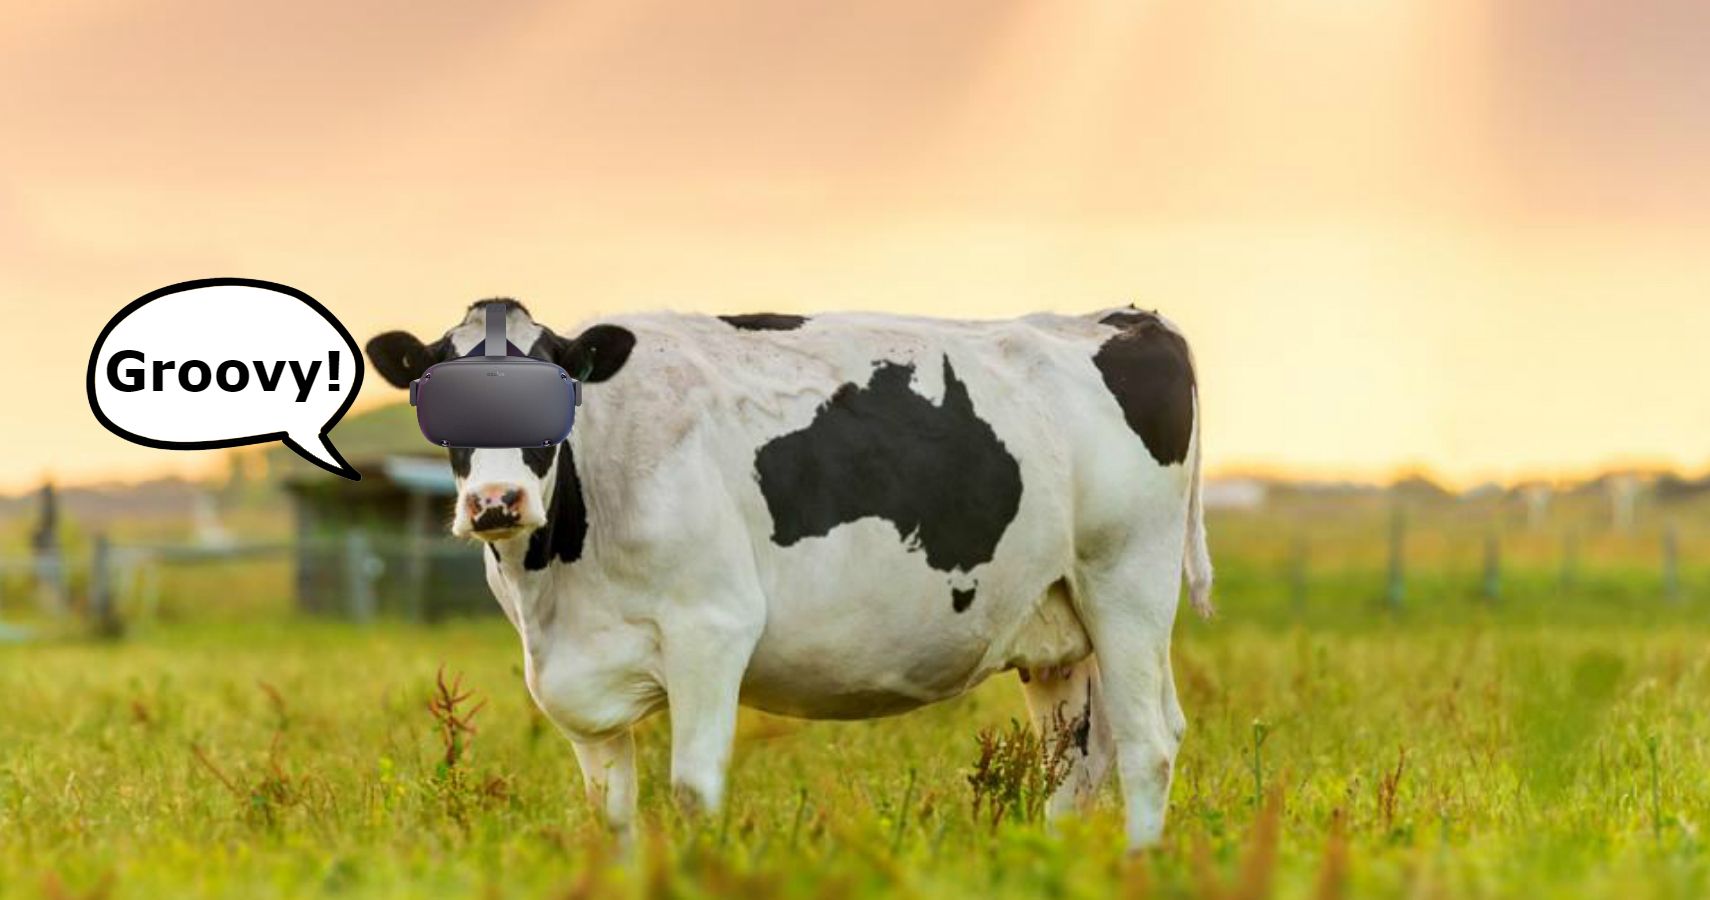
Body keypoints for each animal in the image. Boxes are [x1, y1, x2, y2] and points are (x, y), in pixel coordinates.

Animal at [365, 299, 1212, 849]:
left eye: (553, 387)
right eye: (437, 395)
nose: (494, 501)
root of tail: (1125, 315)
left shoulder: (711, 627)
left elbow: (693, 789)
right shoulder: (581, 682)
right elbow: (611, 814)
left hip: (1126, 584)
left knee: (1147, 744)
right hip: (1056, 623)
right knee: (1074, 760)